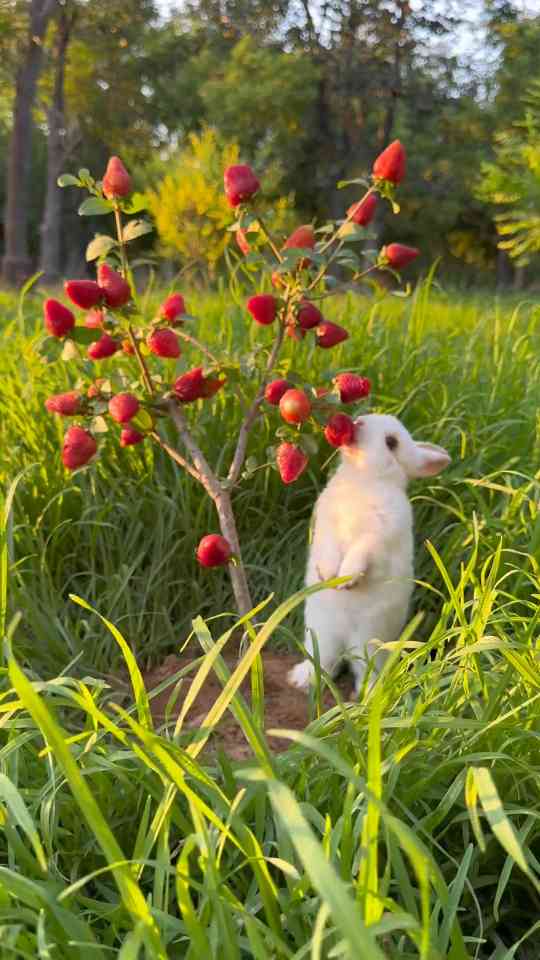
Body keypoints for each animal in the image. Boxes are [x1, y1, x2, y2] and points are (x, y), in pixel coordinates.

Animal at [288, 414, 451, 695]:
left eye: (391, 442)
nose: (359, 422)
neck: (364, 479)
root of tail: (345, 643)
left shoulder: (375, 537)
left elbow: (359, 553)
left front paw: (346, 580)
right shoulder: (328, 527)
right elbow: (329, 549)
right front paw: (328, 575)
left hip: (371, 642)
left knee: (365, 670)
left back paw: (370, 693)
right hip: (320, 632)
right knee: (324, 663)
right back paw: (302, 680)